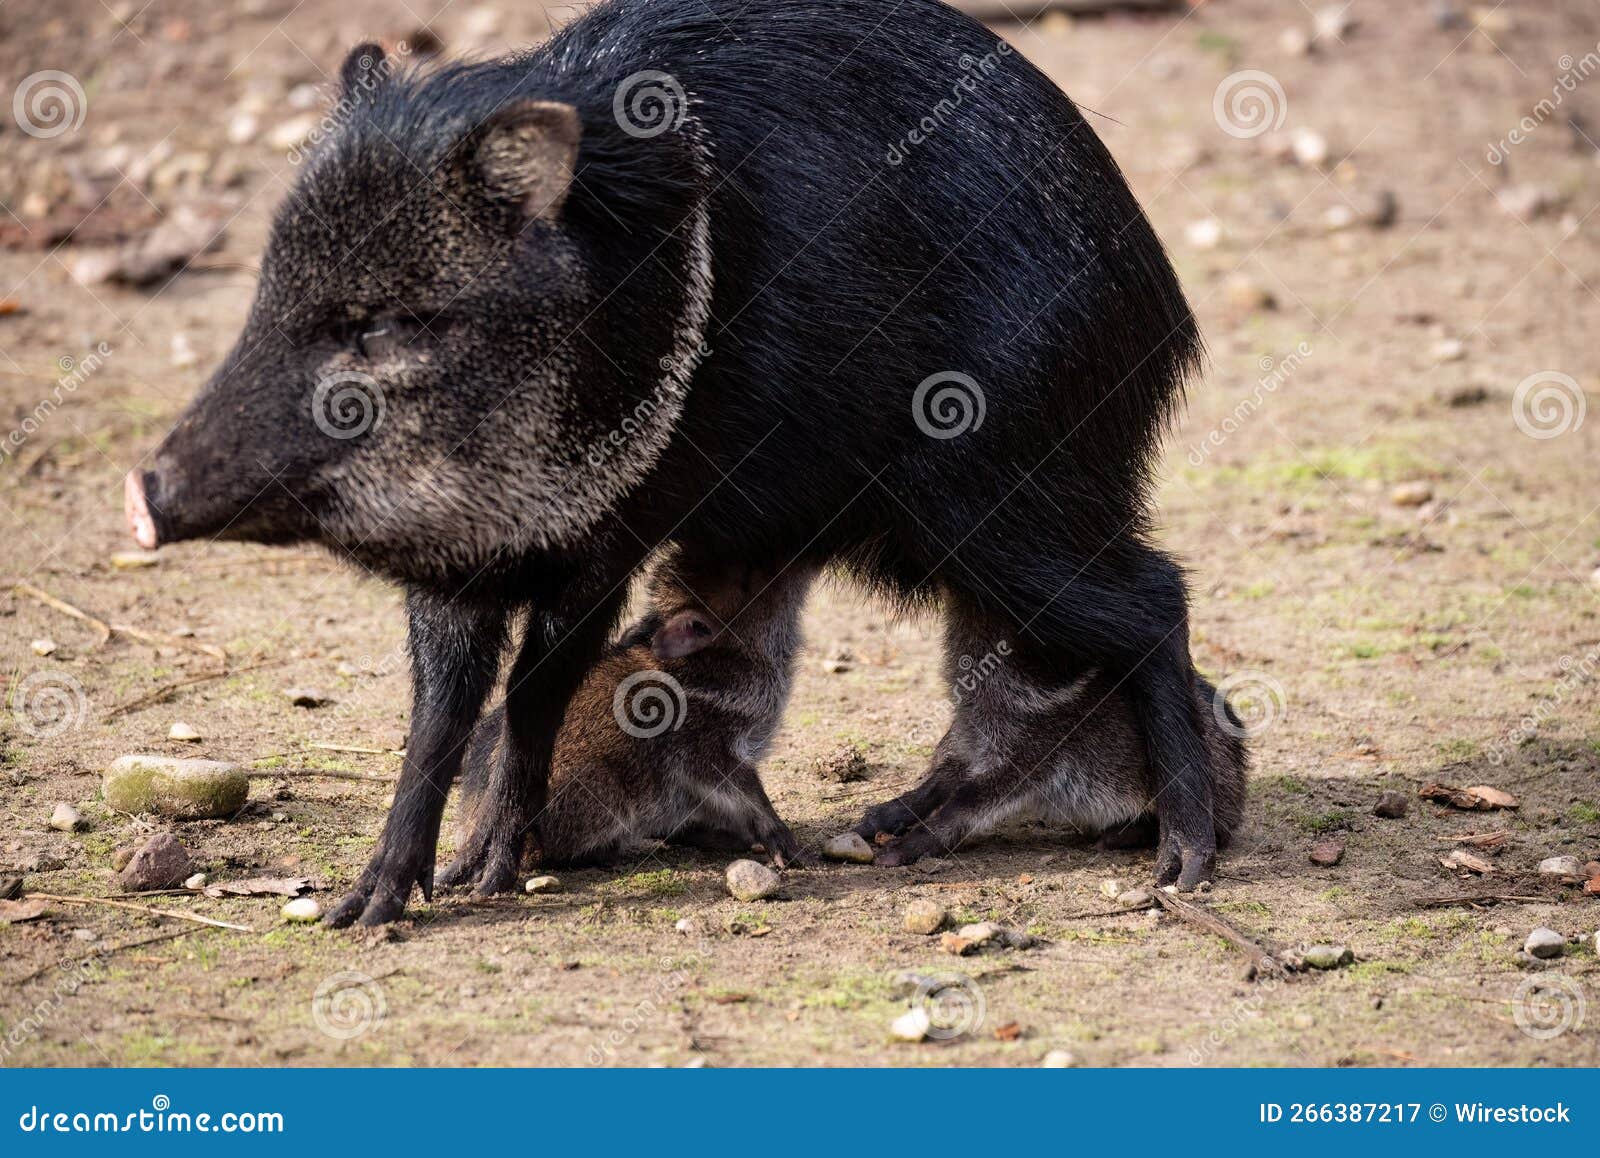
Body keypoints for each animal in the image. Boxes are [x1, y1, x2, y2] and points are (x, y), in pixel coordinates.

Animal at [851, 597, 1248, 865]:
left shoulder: (1028, 760)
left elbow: (965, 806)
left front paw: (896, 853)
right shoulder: (966, 744)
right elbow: (934, 784)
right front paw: (873, 821)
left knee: (1218, 829)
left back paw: (1117, 836)